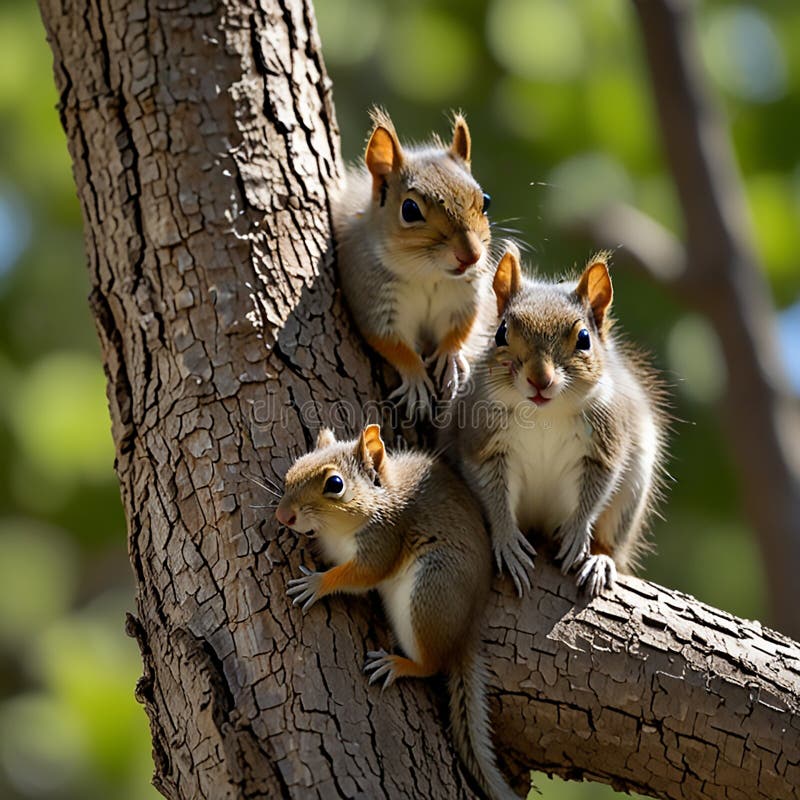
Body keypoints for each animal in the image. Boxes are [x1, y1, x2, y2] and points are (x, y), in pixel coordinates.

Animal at [276, 425, 517, 800]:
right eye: (293, 469)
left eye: (335, 484)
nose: (282, 516)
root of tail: (465, 631)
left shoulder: (384, 540)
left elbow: (359, 576)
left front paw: (316, 584)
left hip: (429, 594)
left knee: (432, 666)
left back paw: (398, 664)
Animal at [332, 108, 493, 418]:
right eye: (409, 210)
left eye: (486, 201)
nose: (471, 256)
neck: (427, 274)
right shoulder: (373, 300)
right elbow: (392, 344)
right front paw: (417, 378)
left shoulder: (463, 296)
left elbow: (460, 328)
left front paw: (450, 358)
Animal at [444, 245, 668, 597]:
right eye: (501, 333)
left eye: (584, 339)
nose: (540, 380)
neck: (543, 414)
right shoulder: (482, 442)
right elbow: (493, 494)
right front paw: (507, 540)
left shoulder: (606, 441)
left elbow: (597, 489)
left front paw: (577, 533)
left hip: (631, 495)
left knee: (612, 540)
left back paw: (600, 559)